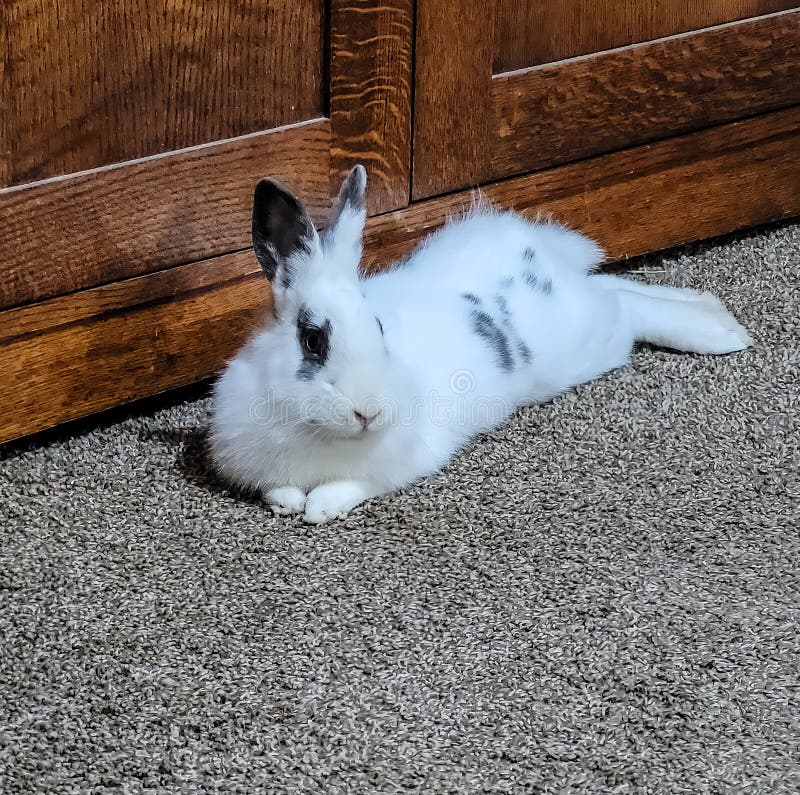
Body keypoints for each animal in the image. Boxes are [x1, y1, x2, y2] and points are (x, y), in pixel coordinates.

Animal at [210, 165, 752, 523]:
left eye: (379, 329)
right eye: (312, 339)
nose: (370, 412)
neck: (320, 434)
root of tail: (542, 255)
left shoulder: (401, 463)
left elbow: (346, 489)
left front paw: (317, 507)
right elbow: (278, 492)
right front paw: (289, 502)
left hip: (591, 345)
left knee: (624, 305)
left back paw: (722, 333)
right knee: (615, 287)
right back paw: (715, 314)